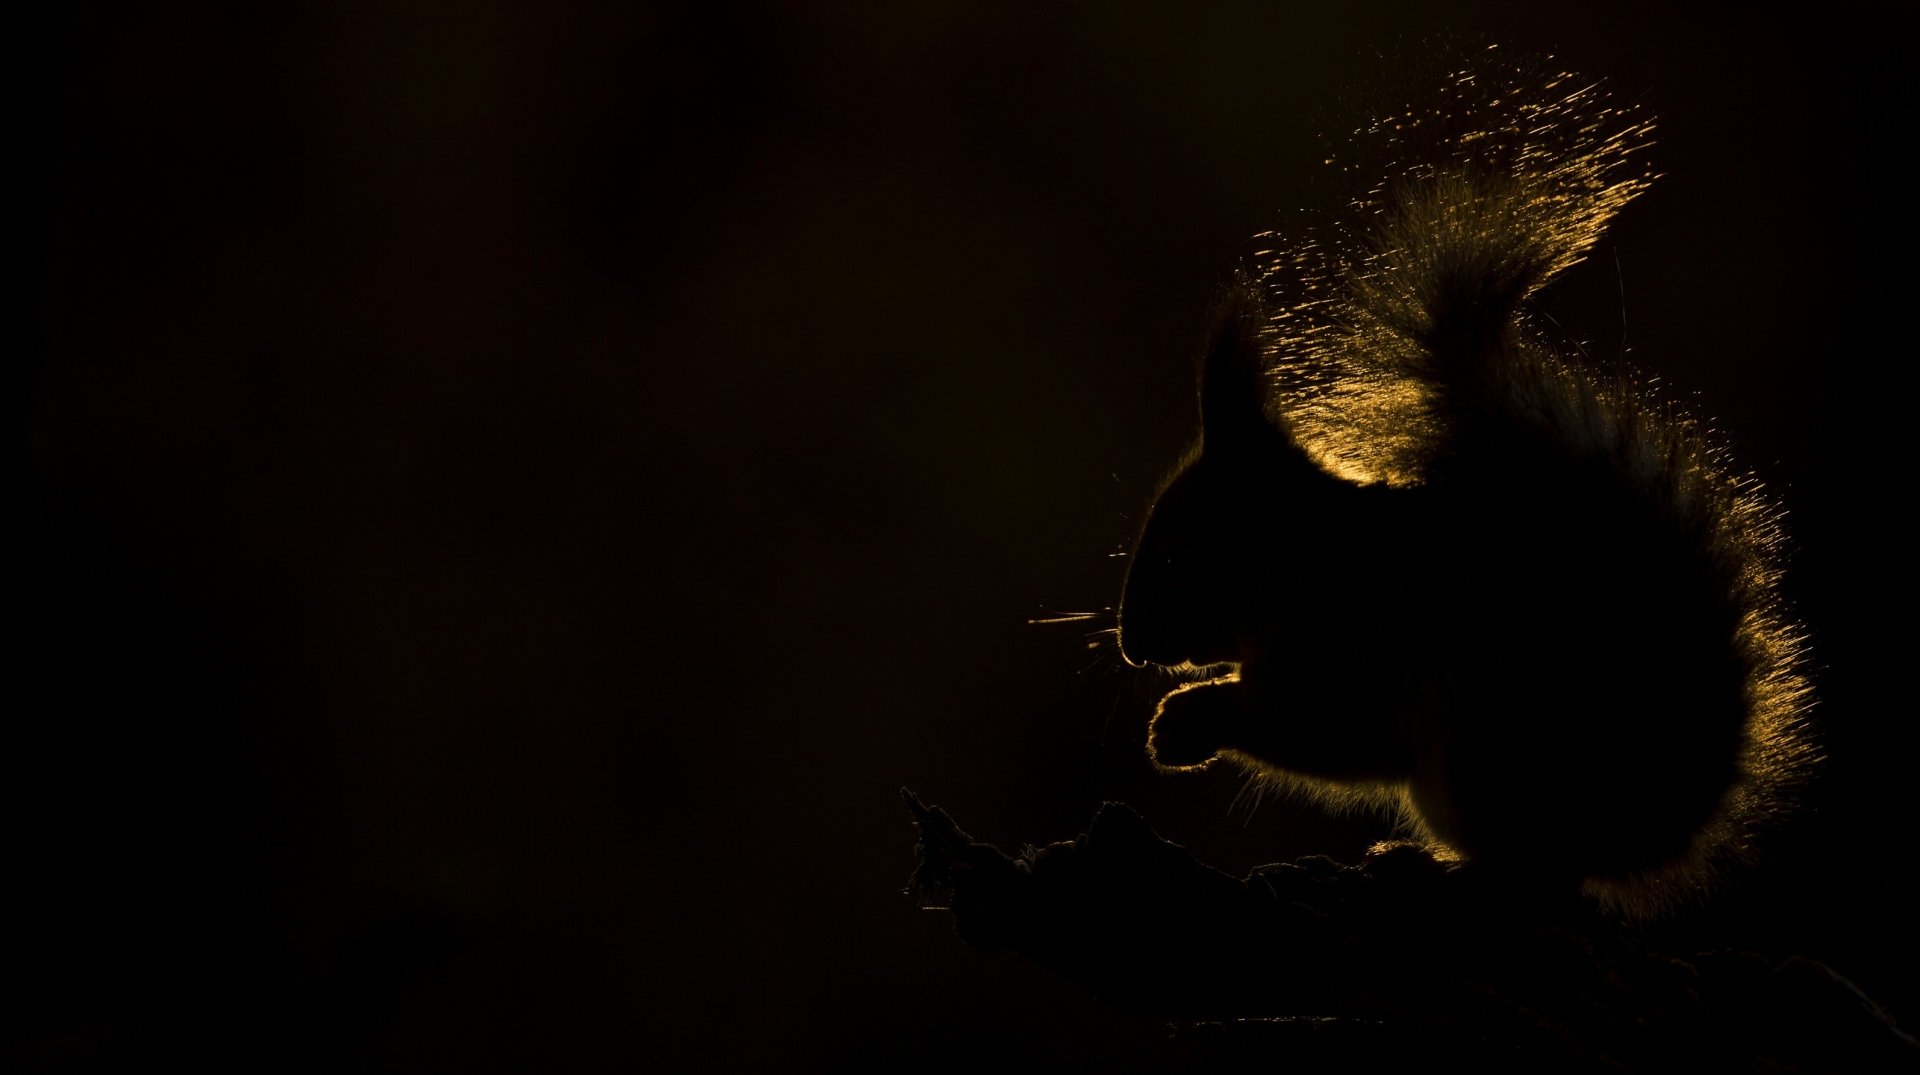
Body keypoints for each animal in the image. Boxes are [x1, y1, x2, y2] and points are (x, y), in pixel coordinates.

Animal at [1116, 50, 1816, 918]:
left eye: (1177, 555)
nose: (1129, 644)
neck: (1292, 557)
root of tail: (1645, 818)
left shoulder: (1341, 636)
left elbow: (1314, 726)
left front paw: (1188, 719)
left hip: (1492, 729)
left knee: (1537, 869)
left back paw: (1444, 868)